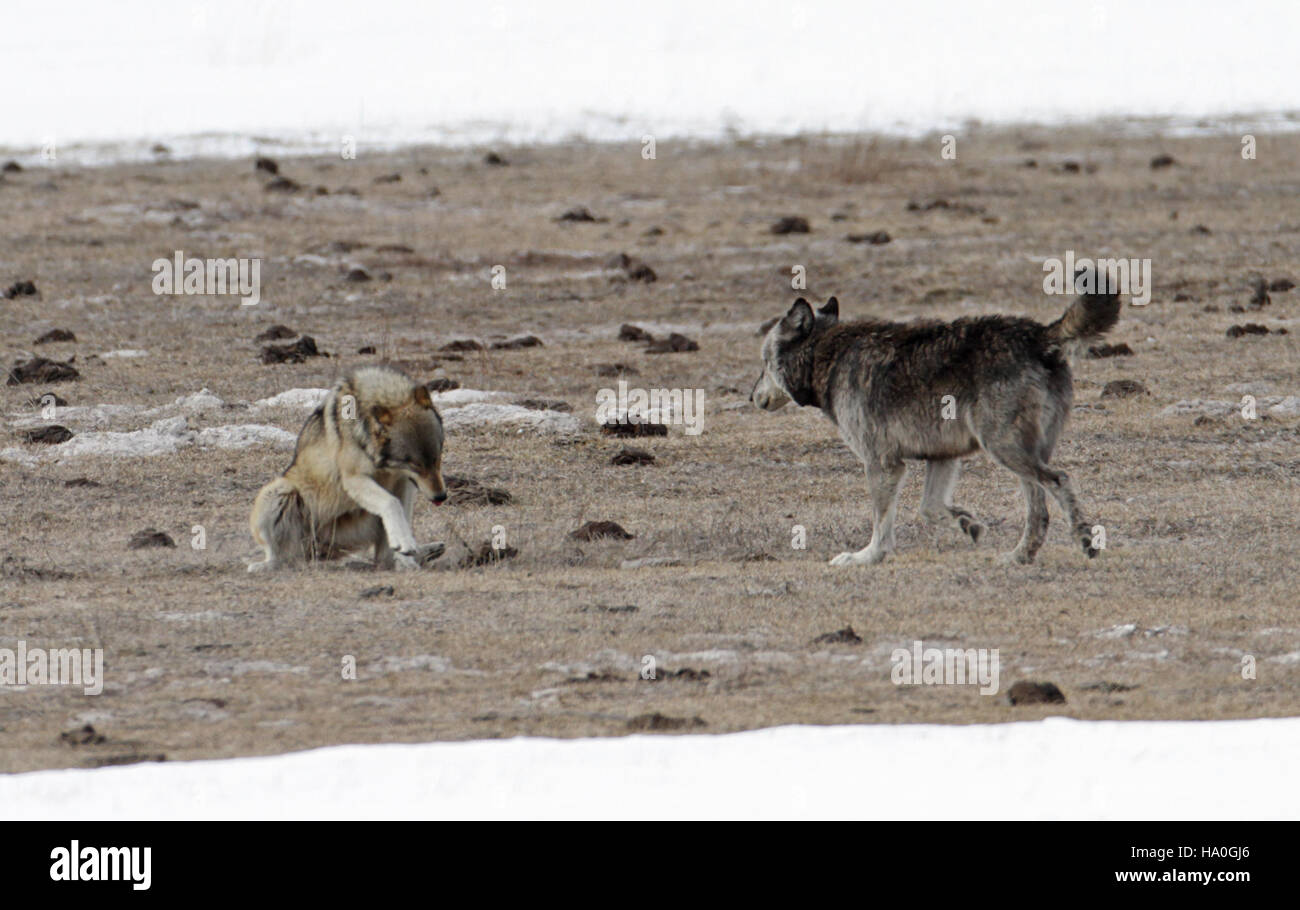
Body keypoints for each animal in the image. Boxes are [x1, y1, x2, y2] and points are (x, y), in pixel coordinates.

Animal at [248, 366, 448, 572]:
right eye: (415, 464)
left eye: (437, 458)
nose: (441, 496)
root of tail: (316, 550)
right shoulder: (354, 479)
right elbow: (391, 503)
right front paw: (405, 544)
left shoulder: (403, 483)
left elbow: (400, 513)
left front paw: (406, 551)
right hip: (278, 491)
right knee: (284, 558)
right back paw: (263, 566)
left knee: (382, 557)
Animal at [751, 281, 1121, 566]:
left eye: (764, 363)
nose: (752, 397)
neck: (827, 356)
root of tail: (1039, 334)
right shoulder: (942, 456)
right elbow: (929, 509)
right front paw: (967, 524)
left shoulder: (883, 463)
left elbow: (881, 525)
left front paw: (866, 557)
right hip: (1020, 458)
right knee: (1039, 512)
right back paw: (1019, 557)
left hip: (1006, 450)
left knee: (1059, 480)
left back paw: (1084, 541)